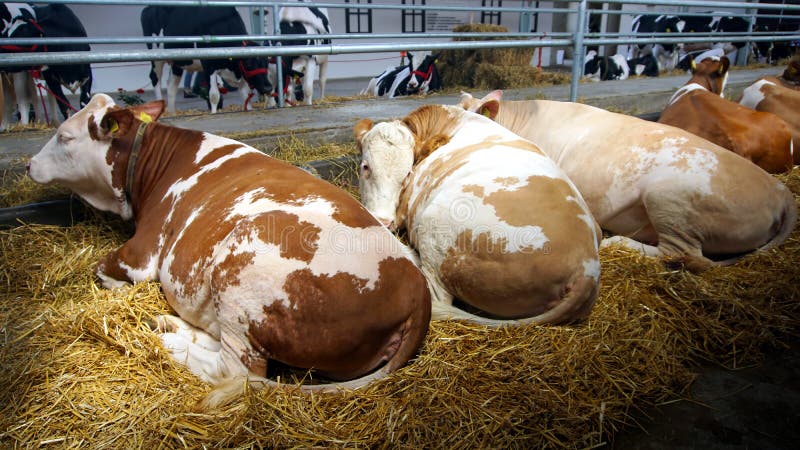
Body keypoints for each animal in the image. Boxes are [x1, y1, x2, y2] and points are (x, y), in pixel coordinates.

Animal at [26, 93, 431, 408]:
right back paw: (169, 324)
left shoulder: (140, 255)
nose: (30, 164)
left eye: (64, 136)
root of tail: (417, 292)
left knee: (236, 370)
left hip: (241, 270)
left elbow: (104, 271)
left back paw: (167, 340)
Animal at [142, 5, 272, 114]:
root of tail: (148, 8)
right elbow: (214, 96)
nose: (268, 87)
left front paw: (248, 109)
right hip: (156, 56)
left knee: (171, 86)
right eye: (249, 64)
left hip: (177, 61)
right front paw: (214, 113)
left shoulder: (239, 71)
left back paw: (172, 113)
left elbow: (245, 95)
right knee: (155, 78)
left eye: (266, 63)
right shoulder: (209, 65)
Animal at [354, 105, 601, 326]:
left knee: (436, 294)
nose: (384, 220)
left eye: (407, 174)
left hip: (436, 229)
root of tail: (586, 269)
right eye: (365, 166)